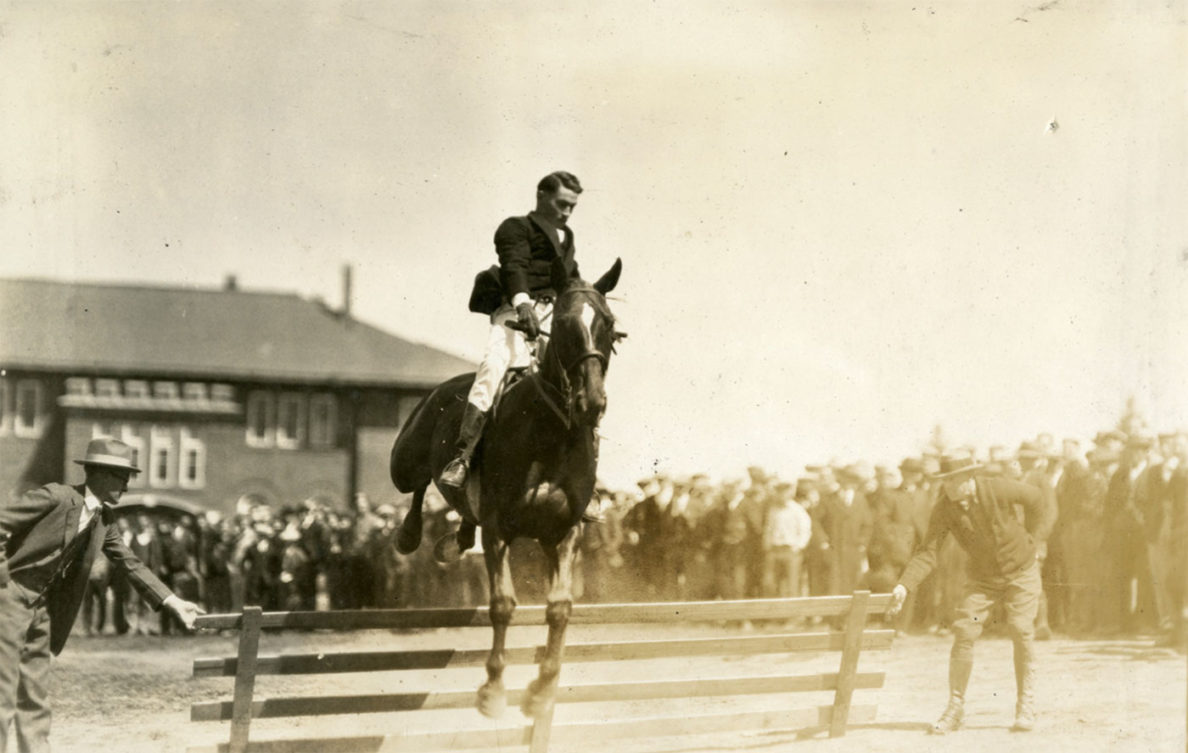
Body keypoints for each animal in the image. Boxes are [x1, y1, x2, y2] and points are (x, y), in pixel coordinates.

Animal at [388, 258, 623, 719]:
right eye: (565, 324)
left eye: (608, 323)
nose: (592, 403)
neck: (550, 434)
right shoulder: (500, 530)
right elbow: (502, 604)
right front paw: (493, 689)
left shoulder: (564, 533)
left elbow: (560, 607)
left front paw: (542, 690)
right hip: (403, 461)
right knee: (419, 484)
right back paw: (412, 531)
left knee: (461, 512)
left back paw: (455, 538)